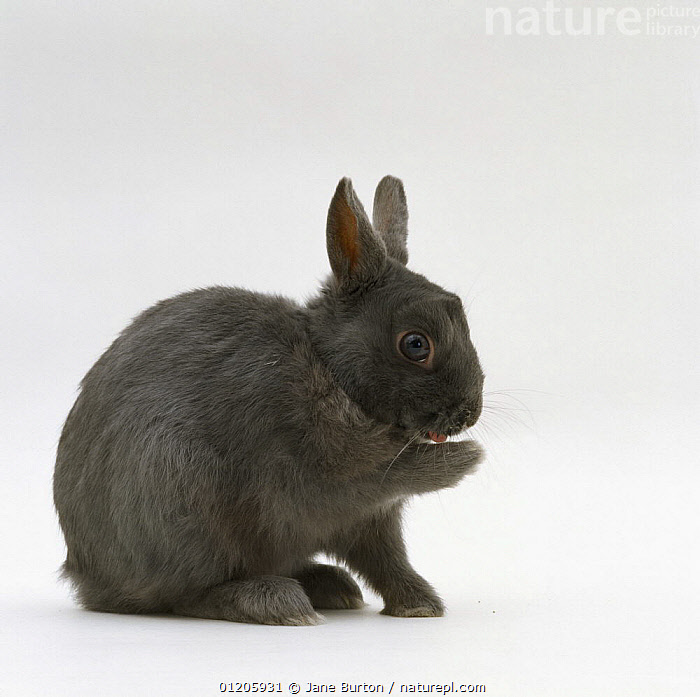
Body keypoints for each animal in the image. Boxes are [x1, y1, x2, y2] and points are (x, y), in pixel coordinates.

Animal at [53, 176, 485, 626]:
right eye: (416, 344)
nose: (469, 414)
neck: (330, 368)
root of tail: (87, 577)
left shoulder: (374, 518)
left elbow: (389, 561)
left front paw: (420, 605)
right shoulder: (333, 477)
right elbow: (387, 479)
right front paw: (466, 457)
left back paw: (330, 587)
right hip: (179, 499)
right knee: (189, 595)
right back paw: (279, 601)